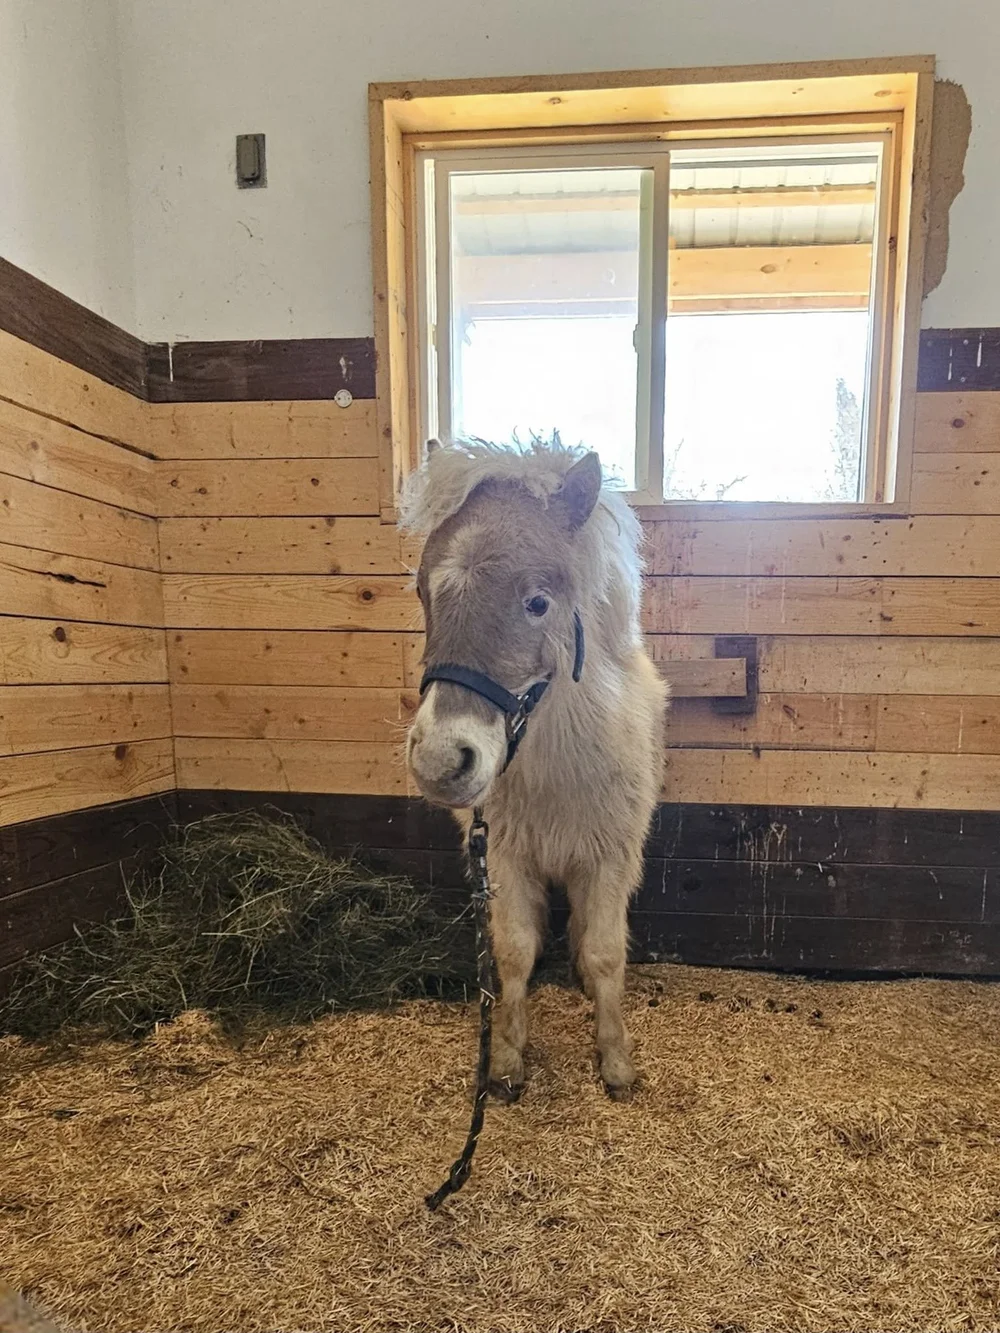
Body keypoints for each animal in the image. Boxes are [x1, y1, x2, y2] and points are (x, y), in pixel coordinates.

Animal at [401, 440, 668, 1097]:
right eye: (422, 592)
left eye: (537, 602)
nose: (440, 761)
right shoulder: (504, 857)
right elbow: (515, 950)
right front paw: (506, 1060)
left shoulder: (607, 856)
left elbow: (604, 951)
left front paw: (614, 1061)